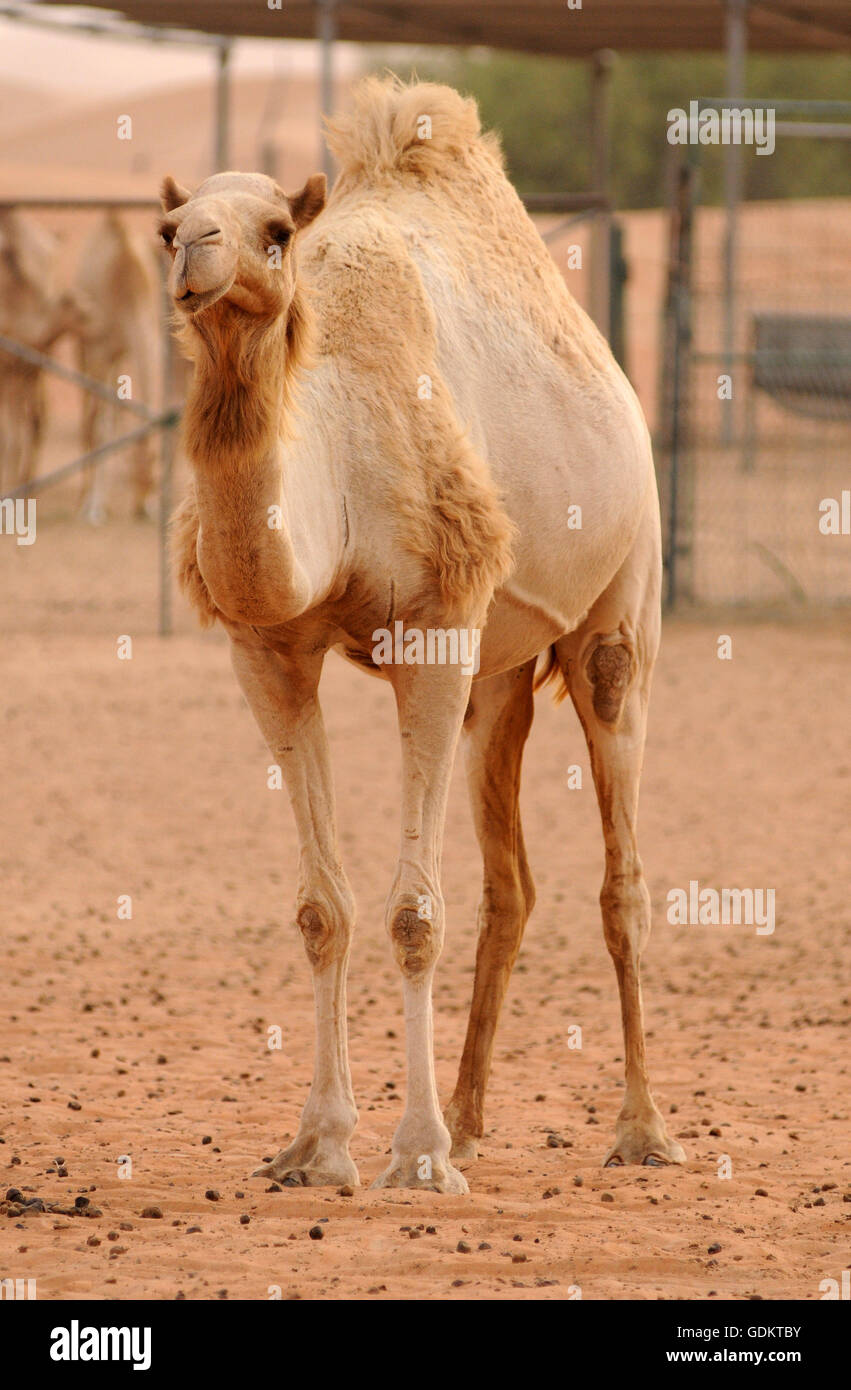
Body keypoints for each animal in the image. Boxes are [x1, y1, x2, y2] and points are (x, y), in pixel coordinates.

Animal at [71, 212, 160, 522]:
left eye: (158, 460)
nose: (144, 504)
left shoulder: (142, 341)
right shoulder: (100, 348)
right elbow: (101, 426)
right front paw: (95, 507)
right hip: (84, 347)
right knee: (88, 413)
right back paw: (83, 495)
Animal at [161, 76, 685, 1193]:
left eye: (276, 233)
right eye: (167, 228)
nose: (198, 258)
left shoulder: (433, 629)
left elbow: (412, 914)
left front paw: (416, 1153)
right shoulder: (268, 652)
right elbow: (323, 909)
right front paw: (318, 1145)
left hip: (623, 599)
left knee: (619, 873)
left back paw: (640, 1130)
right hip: (499, 672)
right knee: (510, 884)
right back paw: (478, 1118)